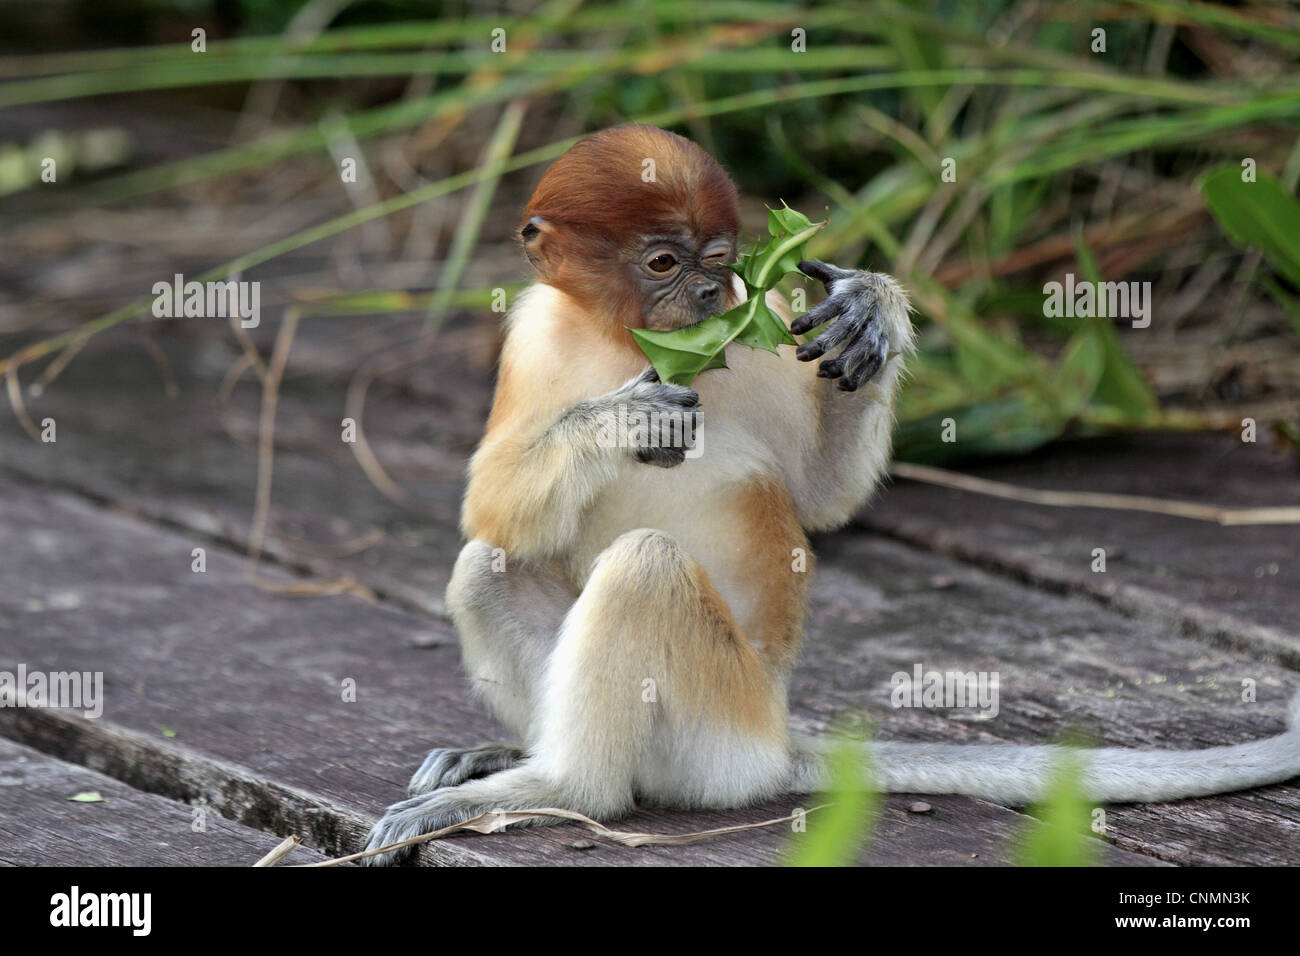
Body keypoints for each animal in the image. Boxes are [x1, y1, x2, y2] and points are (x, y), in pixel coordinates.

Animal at [362, 124, 1300, 864]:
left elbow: (819, 496)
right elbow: (489, 507)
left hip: (720, 731)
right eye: (662, 261)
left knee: (643, 568)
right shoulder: (535, 330)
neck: (615, 337)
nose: (707, 295)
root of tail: (776, 741)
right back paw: (509, 758)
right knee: (488, 561)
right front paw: (626, 421)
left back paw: (561, 786)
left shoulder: (763, 317)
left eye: (718, 262)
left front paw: (868, 312)